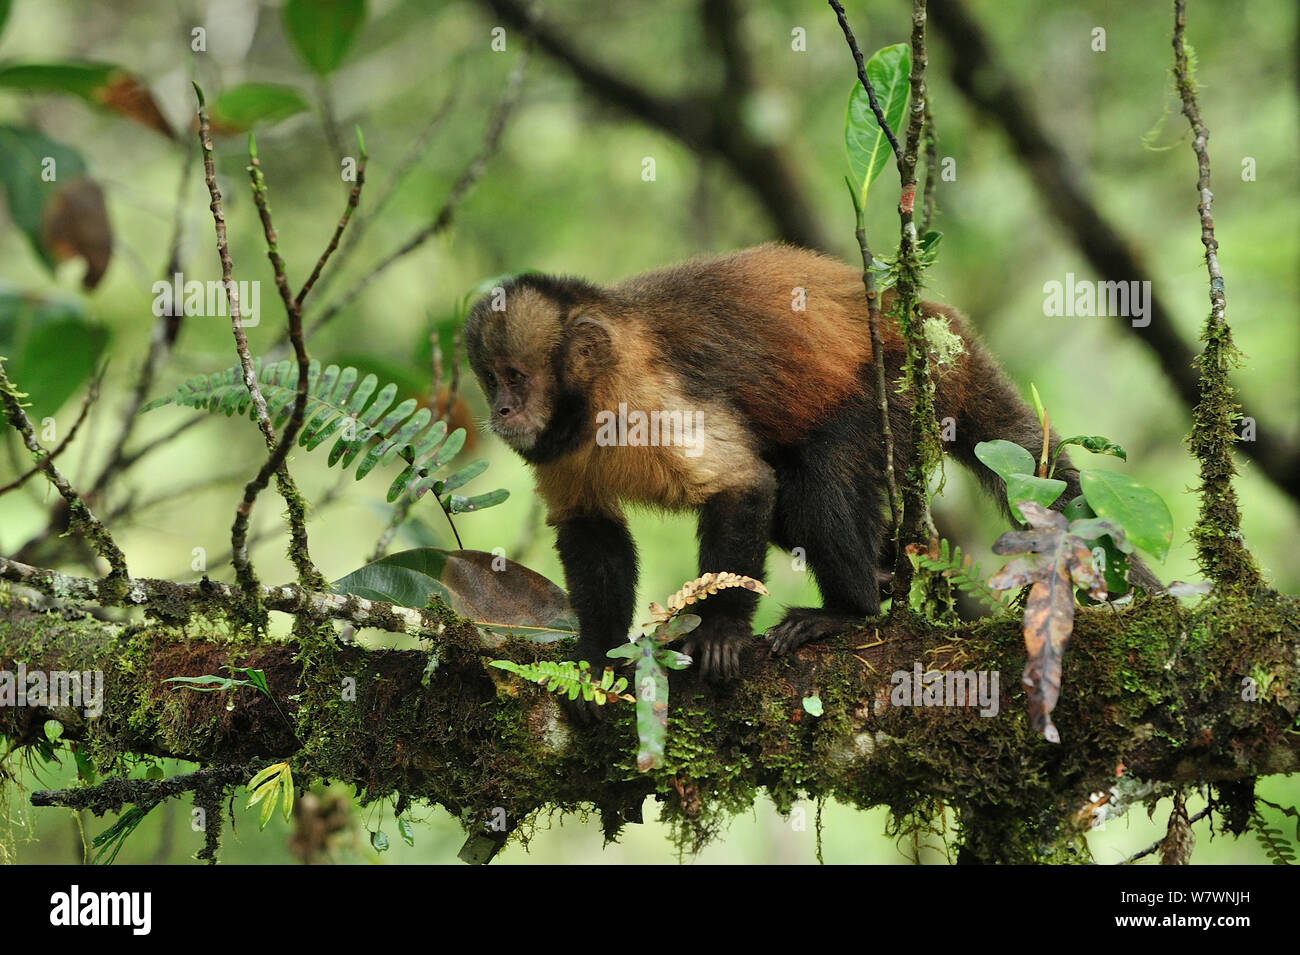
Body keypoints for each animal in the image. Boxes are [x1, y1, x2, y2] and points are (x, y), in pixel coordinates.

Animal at [464, 244, 1155, 683]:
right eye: (491, 380)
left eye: (516, 378)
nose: (501, 410)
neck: (593, 401)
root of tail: (931, 322)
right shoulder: (559, 447)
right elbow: (591, 530)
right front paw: (597, 655)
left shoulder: (648, 398)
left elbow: (742, 487)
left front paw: (720, 633)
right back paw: (881, 575)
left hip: (901, 383)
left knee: (819, 479)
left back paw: (850, 613)